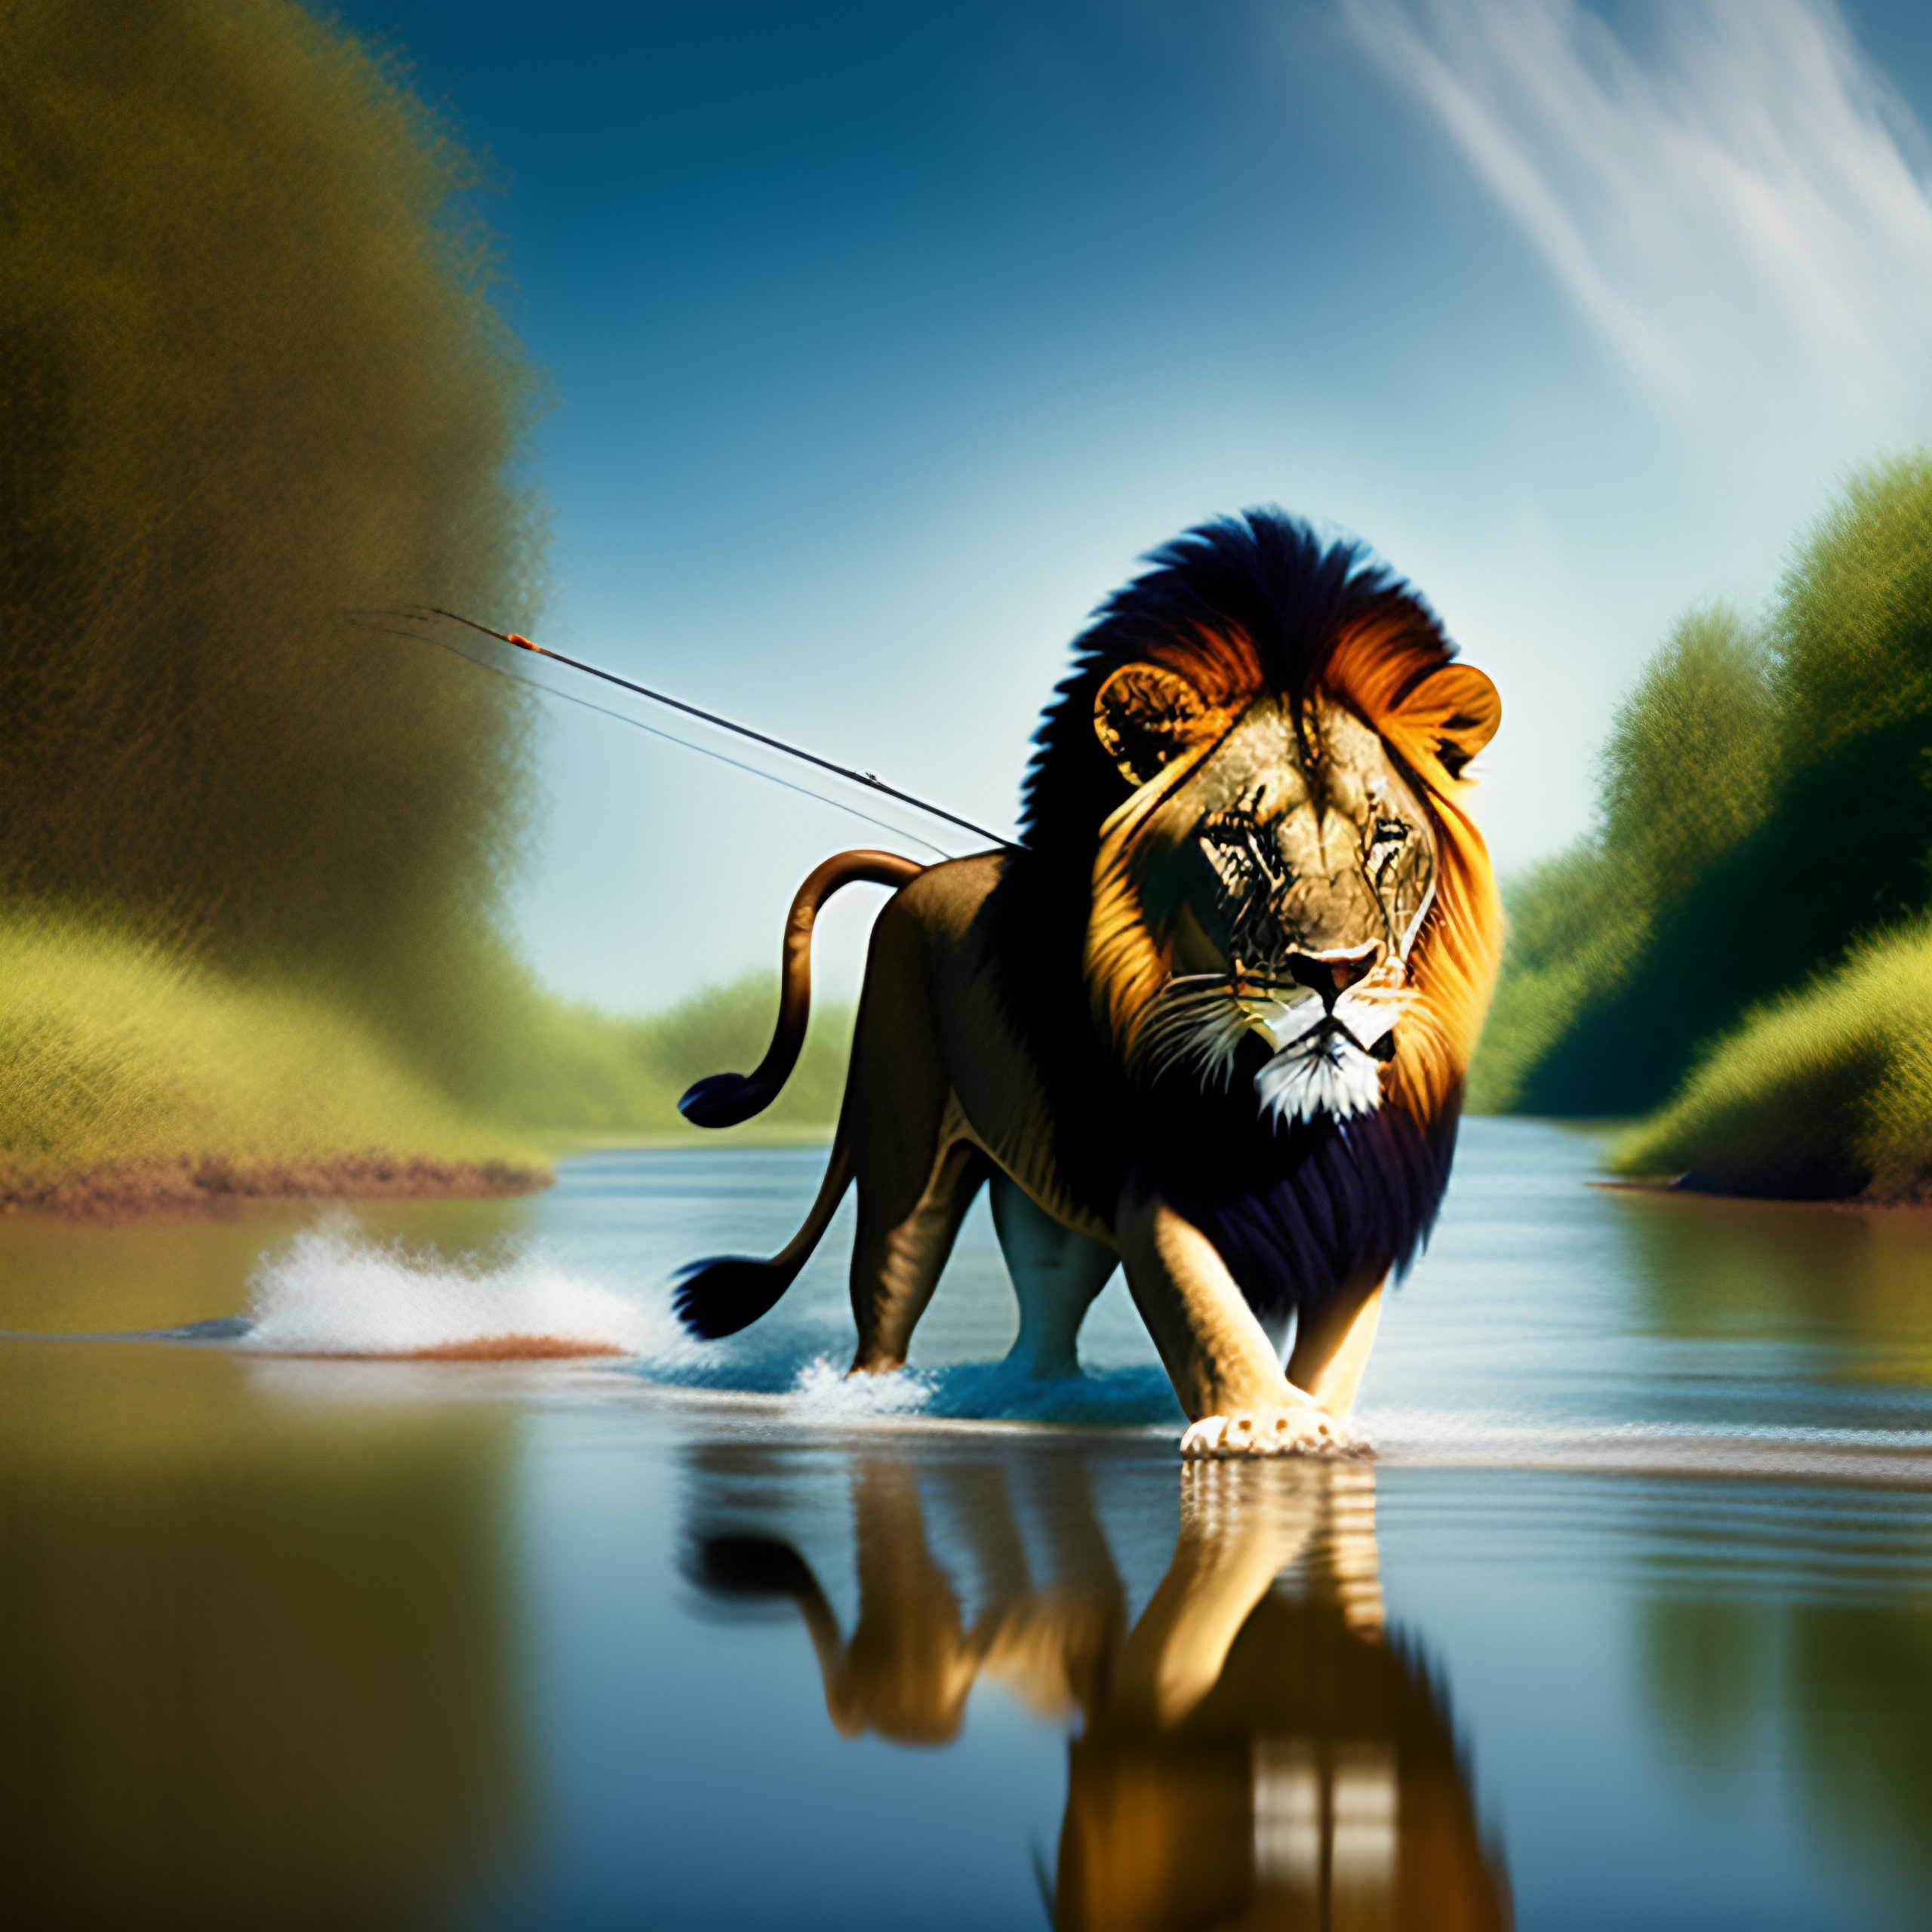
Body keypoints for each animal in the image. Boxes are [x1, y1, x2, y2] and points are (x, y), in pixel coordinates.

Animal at [674, 510, 1501, 1455]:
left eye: (1386, 834)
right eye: (1238, 837)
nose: (1334, 972)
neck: (1287, 1117)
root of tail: (921, 875)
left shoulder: (1359, 1211)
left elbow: (1337, 1349)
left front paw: (1319, 1420)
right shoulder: (1160, 1185)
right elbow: (1205, 1308)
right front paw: (1261, 1418)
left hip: (1049, 1196)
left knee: (1043, 1319)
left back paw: (1039, 1399)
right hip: (902, 1164)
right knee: (883, 1303)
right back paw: (880, 1405)